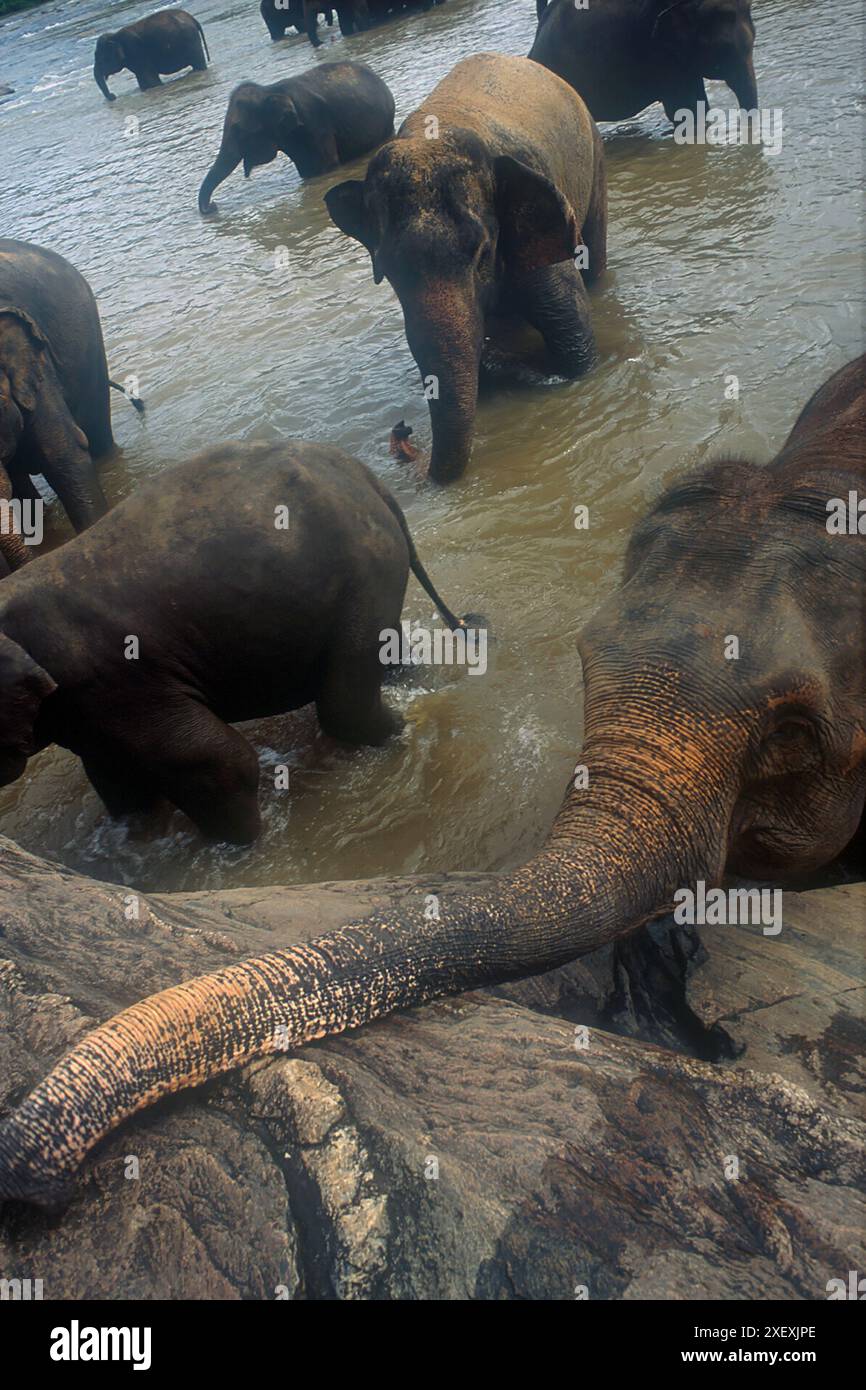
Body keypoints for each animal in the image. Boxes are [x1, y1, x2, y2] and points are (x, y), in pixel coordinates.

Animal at [0, 440, 473, 847]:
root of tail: (364, 475)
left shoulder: (116, 680)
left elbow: (220, 762)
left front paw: (239, 853)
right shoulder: (87, 714)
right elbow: (118, 785)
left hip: (366, 569)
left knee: (344, 708)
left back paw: (407, 724)